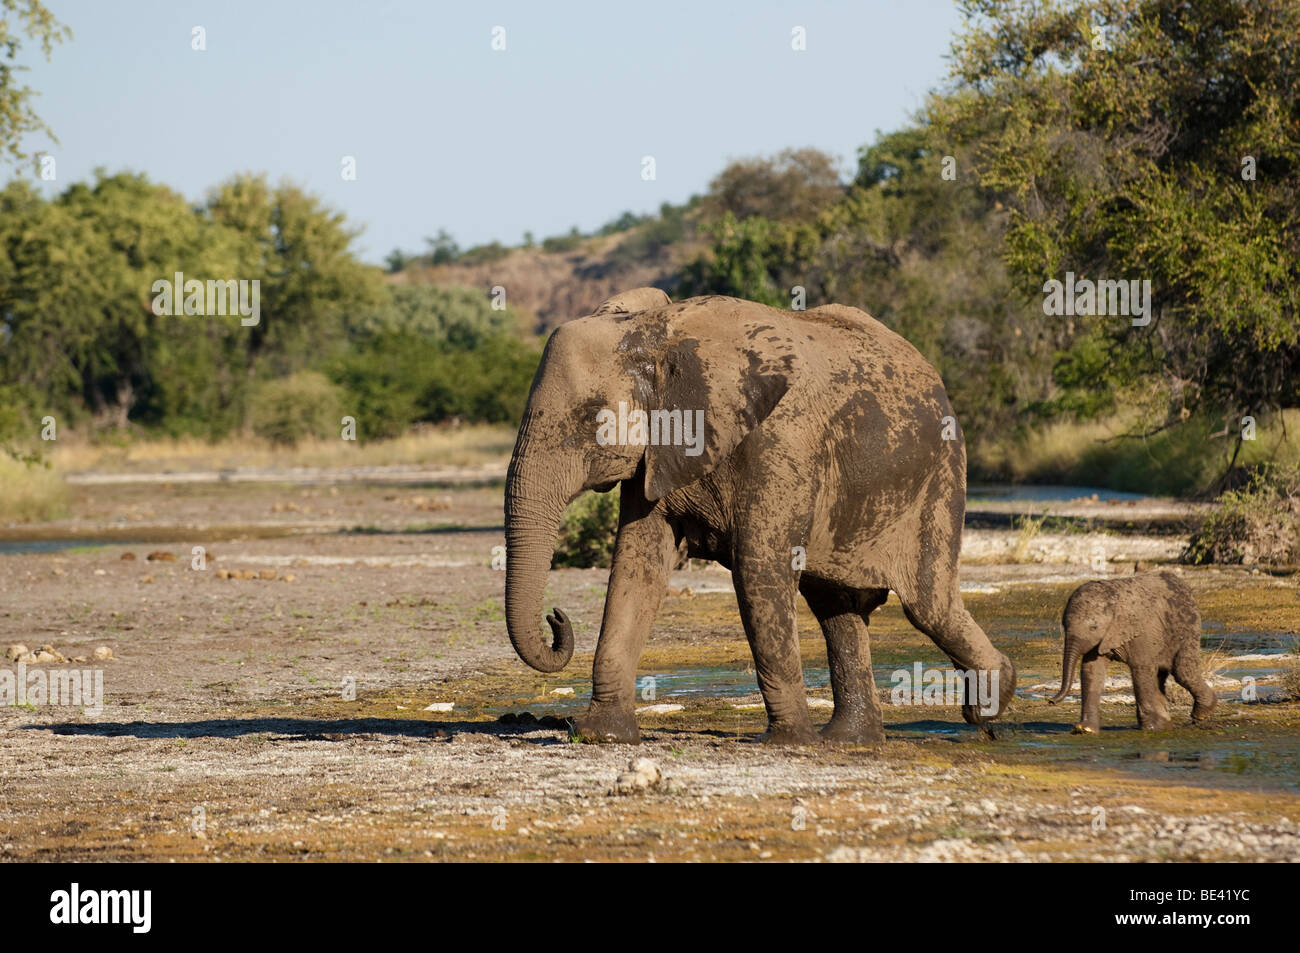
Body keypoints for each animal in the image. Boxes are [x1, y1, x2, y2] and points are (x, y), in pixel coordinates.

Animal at [503, 288, 1017, 745]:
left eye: (591, 417)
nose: (556, 617)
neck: (656, 333)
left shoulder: (782, 444)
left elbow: (757, 570)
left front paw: (786, 742)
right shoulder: (655, 457)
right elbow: (635, 565)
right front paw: (601, 735)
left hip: (940, 476)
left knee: (927, 604)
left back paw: (988, 706)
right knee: (836, 606)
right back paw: (849, 740)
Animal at [1048, 571, 1217, 732]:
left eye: (1093, 628)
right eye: (1064, 625)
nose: (1050, 701)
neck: (1113, 600)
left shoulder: (1142, 631)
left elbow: (1141, 668)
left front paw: (1152, 728)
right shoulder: (1104, 637)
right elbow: (1091, 669)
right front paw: (1084, 729)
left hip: (1189, 627)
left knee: (1182, 671)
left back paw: (1201, 714)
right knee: (1162, 674)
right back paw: (1169, 724)